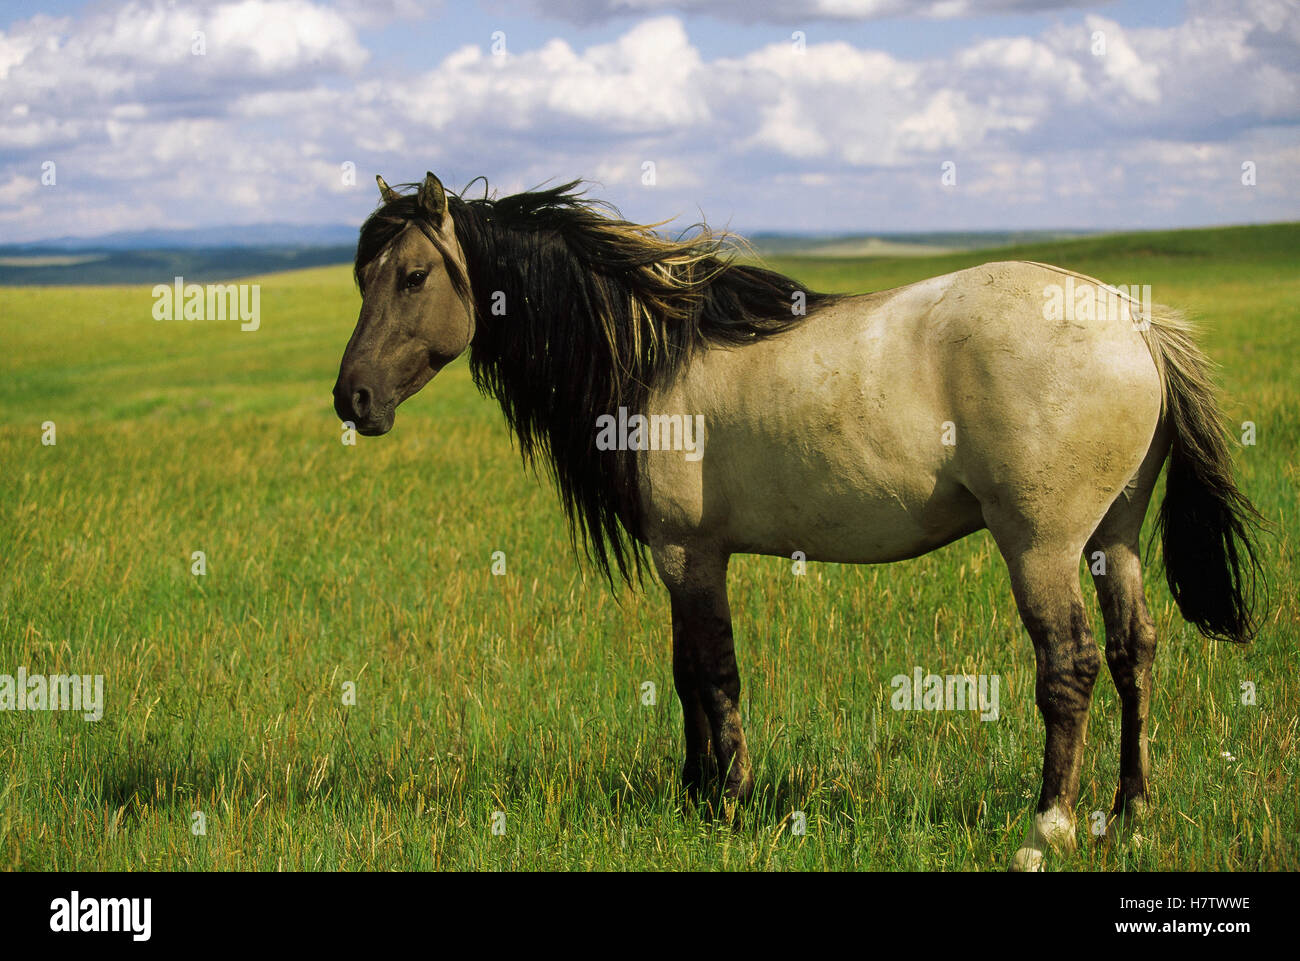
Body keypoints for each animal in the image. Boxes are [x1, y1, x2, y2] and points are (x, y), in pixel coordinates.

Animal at [333, 172, 1264, 871]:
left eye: (412, 276)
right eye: (361, 278)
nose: (354, 398)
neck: (653, 355)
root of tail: (1133, 320)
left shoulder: (690, 554)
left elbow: (713, 674)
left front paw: (730, 800)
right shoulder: (687, 557)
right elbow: (686, 674)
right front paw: (693, 792)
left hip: (1041, 546)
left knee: (1069, 665)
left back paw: (1048, 828)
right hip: (1114, 538)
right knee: (1134, 651)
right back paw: (1131, 812)